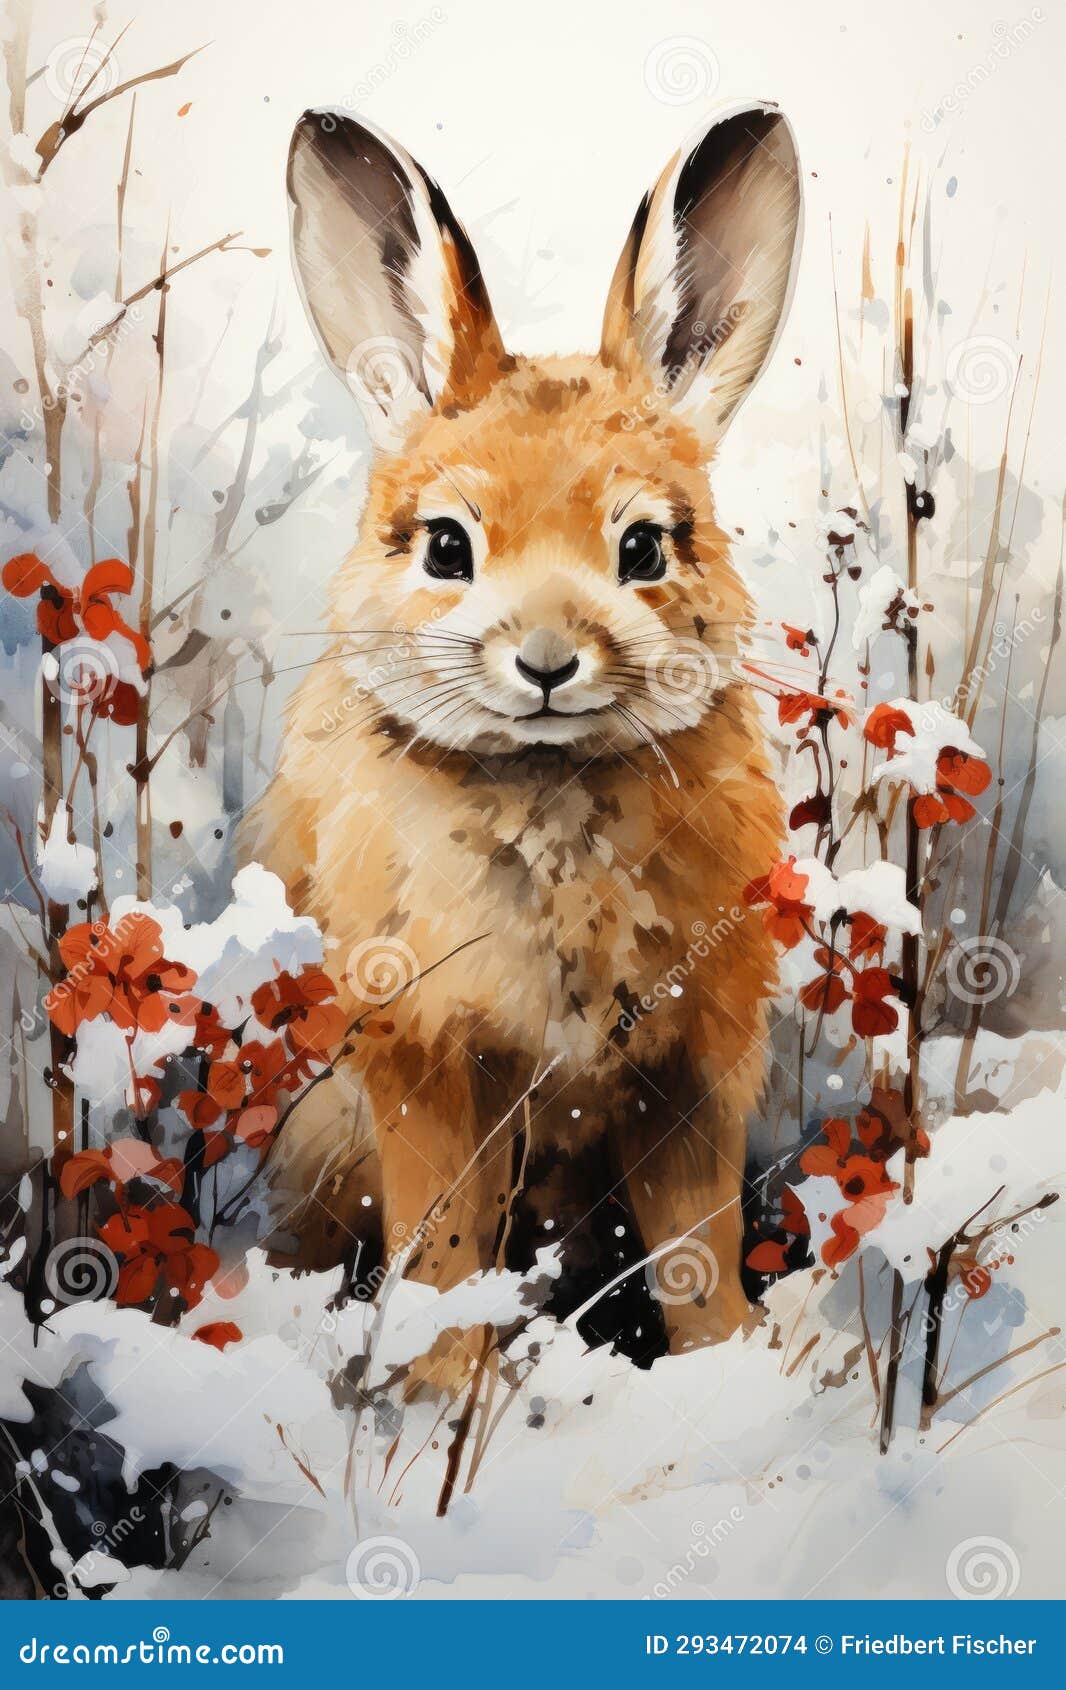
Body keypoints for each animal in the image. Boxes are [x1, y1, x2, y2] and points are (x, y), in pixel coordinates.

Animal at [243, 100, 801, 1396]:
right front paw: (444, 1391)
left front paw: (724, 1381)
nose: (548, 660)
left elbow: (694, 1244)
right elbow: (445, 1243)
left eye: (645, 549)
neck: (548, 783)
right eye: (446, 547)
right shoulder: (424, 1063)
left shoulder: (691, 1071)